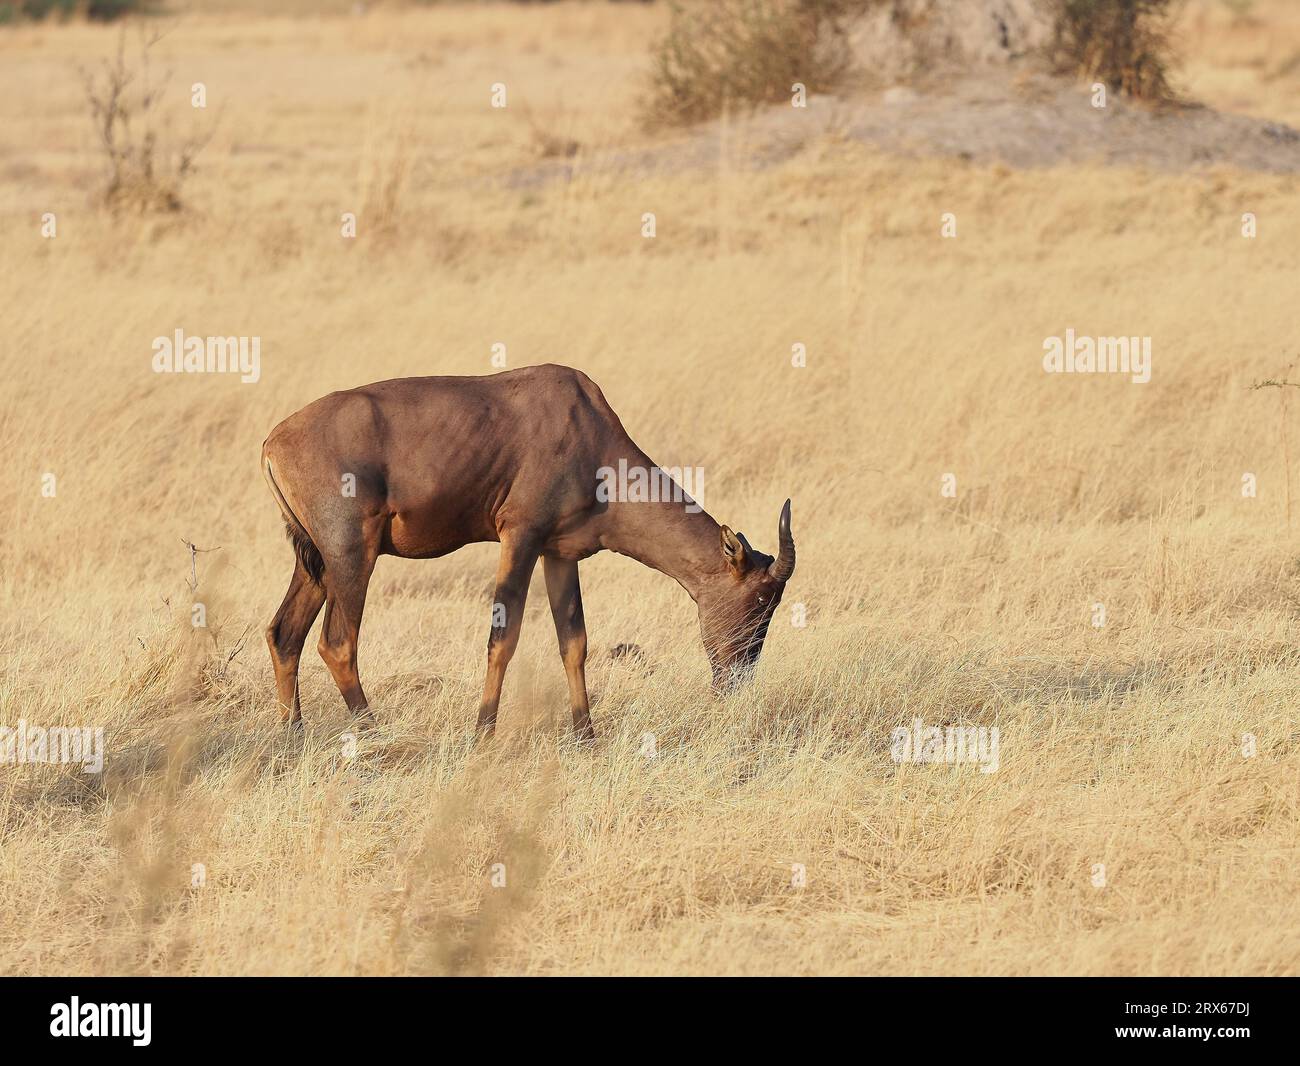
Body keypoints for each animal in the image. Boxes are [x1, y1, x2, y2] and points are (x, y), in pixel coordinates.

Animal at [261, 364, 795, 739]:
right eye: (758, 602)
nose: (734, 685)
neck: (583, 424)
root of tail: (273, 442)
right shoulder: (518, 535)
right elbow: (504, 637)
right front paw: (481, 735)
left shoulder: (558, 553)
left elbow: (574, 641)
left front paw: (586, 737)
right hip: (352, 553)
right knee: (337, 642)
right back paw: (377, 739)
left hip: (315, 563)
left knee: (284, 634)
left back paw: (294, 739)